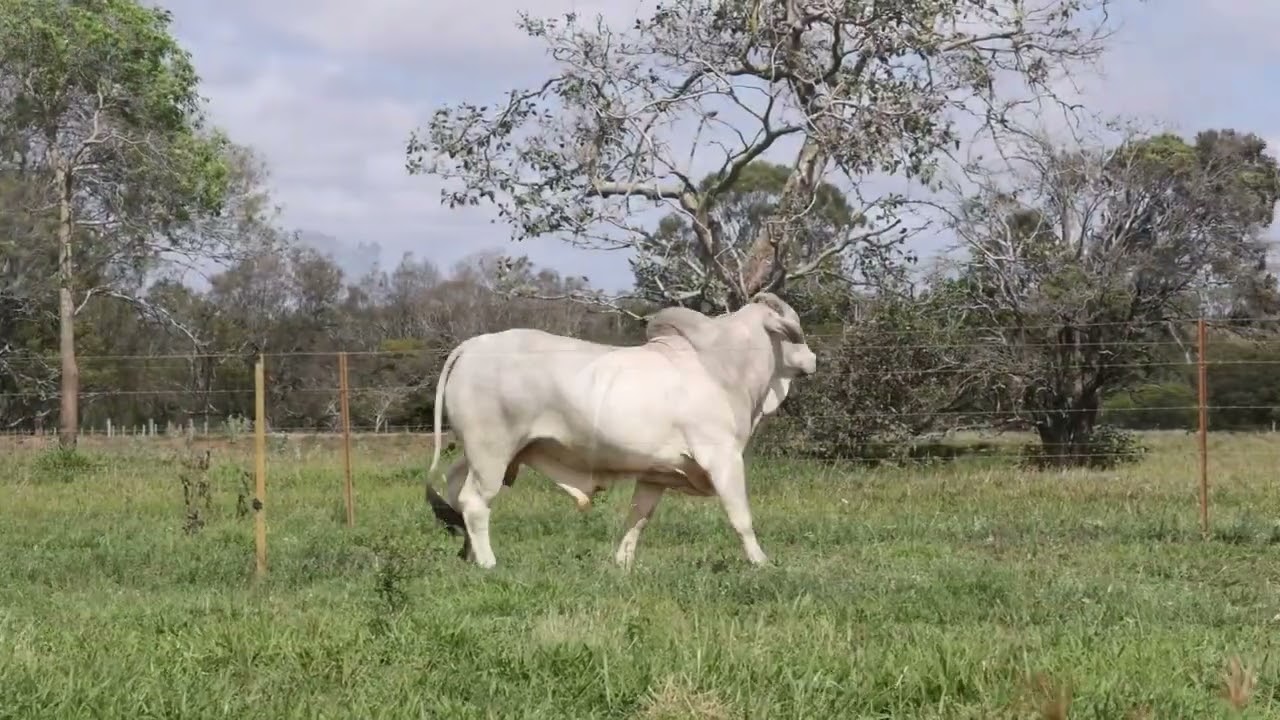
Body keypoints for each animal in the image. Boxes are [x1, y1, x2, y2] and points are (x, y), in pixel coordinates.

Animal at [422, 292, 817, 570]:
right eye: (795, 333)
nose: (812, 360)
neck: (723, 366)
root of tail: (474, 344)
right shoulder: (724, 460)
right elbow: (741, 518)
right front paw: (760, 561)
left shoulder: (656, 474)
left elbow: (637, 519)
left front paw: (623, 563)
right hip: (492, 451)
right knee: (475, 502)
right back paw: (488, 562)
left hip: (480, 453)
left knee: (455, 488)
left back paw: (469, 554)